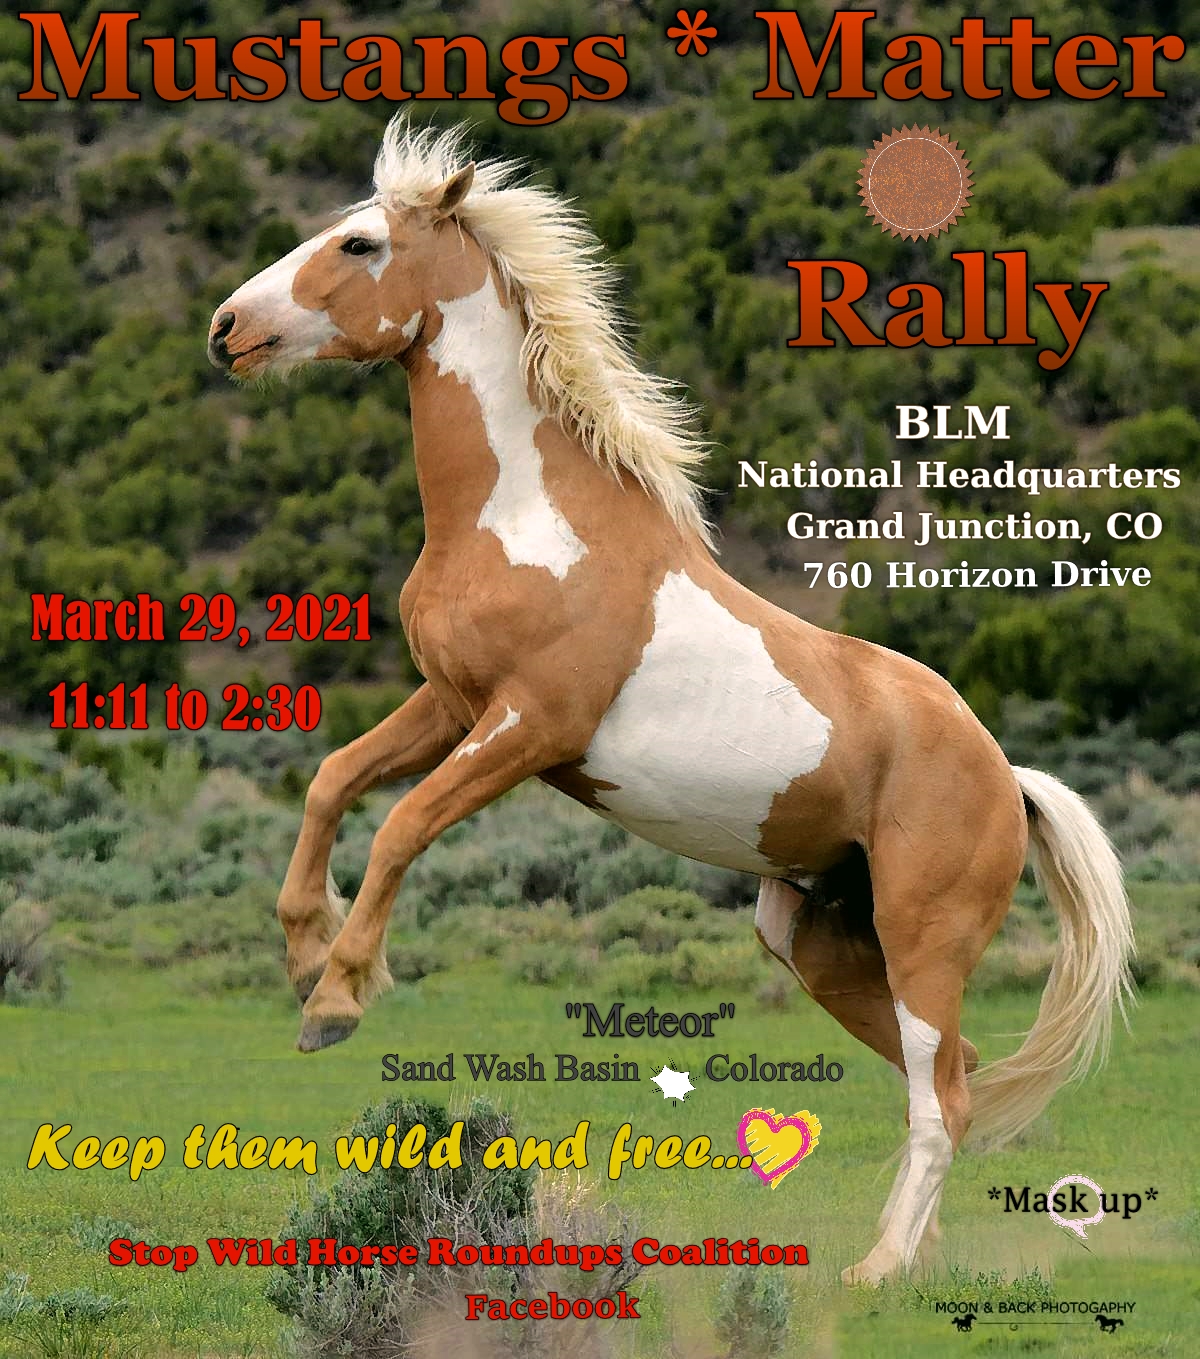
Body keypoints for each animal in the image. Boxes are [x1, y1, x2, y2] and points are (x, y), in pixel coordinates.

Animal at [208, 119, 1134, 1286]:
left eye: (361, 244)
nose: (225, 330)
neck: (530, 518)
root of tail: (1006, 776)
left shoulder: (528, 726)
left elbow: (404, 824)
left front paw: (333, 1002)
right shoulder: (452, 703)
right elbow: (334, 782)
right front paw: (300, 952)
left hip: (922, 937)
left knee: (944, 1100)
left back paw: (876, 1273)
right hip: (819, 940)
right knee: (954, 1079)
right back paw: (904, 1261)